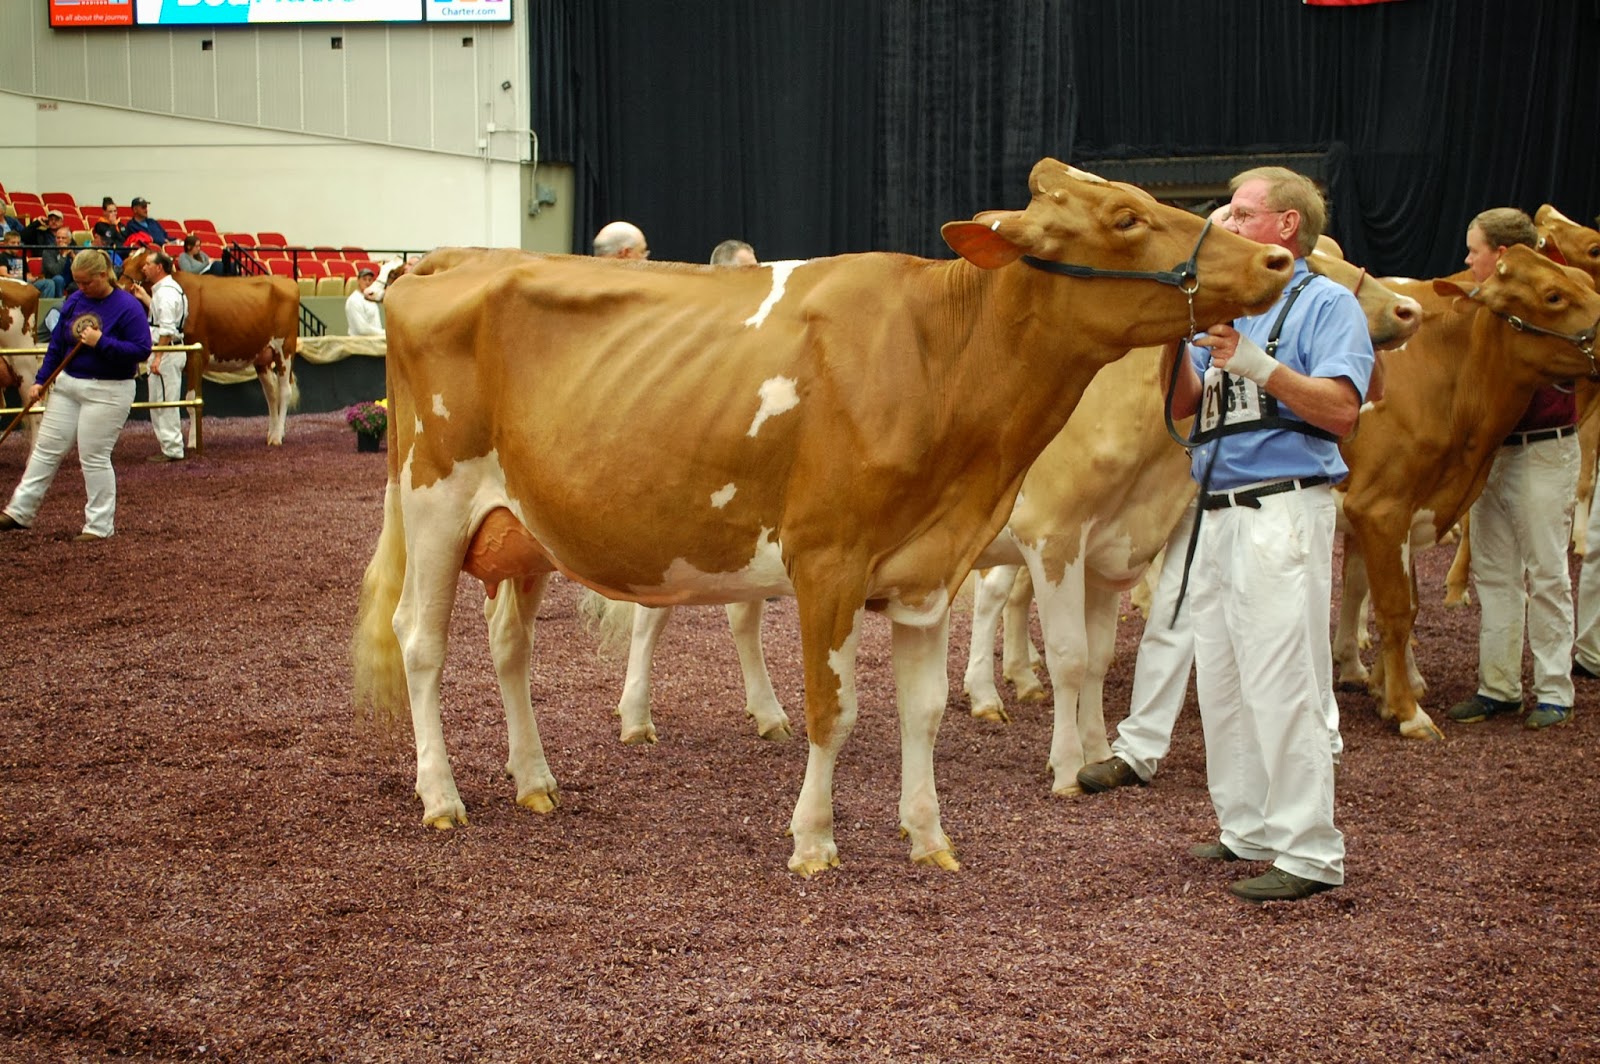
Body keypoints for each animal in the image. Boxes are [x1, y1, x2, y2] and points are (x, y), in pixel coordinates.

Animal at [120, 249, 301, 448]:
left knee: (284, 391)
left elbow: (191, 401)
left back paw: (277, 437)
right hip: (262, 357)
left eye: (142, 266)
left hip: (285, 349)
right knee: (271, 393)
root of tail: (285, 280)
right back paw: (273, 434)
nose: (120, 287)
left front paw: (192, 441)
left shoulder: (196, 356)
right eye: (124, 264)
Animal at [351, 159, 1294, 876]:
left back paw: (534, 780)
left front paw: (929, 836)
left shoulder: (929, 570)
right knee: (422, 644)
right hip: (433, 502)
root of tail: (447, 258)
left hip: (522, 528)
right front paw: (813, 841)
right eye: (1126, 217)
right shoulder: (829, 560)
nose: (1277, 263)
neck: (940, 358)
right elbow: (831, 710)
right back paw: (443, 796)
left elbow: (924, 710)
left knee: (510, 648)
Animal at [1332, 245, 1600, 740]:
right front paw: (1408, 712)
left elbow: (1409, 605)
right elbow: (1394, 610)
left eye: (1585, 282)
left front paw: (1387, 690)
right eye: (1553, 296)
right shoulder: (1379, 509)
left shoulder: (1410, 511)